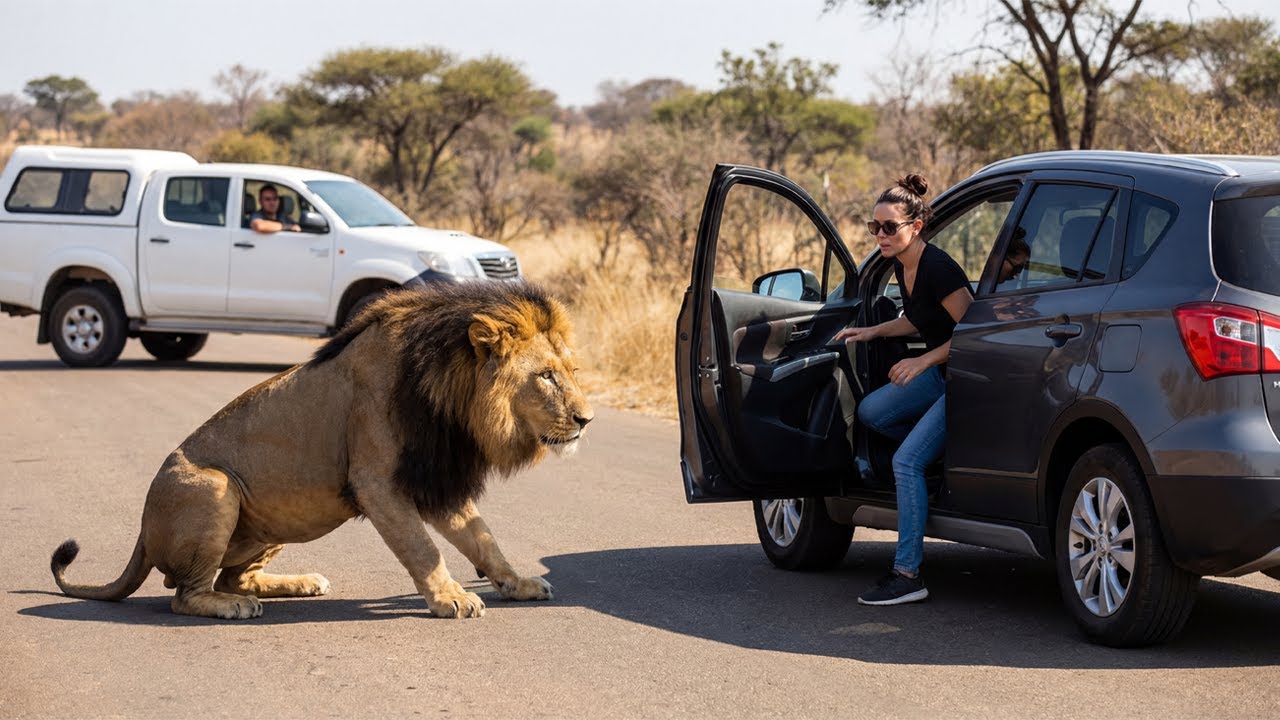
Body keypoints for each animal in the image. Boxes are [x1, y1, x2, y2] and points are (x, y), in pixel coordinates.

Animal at [49, 281, 593, 620]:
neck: (453, 401)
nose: (587, 420)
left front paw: (518, 583)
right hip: (218, 486)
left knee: (233, 577)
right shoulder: (378, 483)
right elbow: (424, 549)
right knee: (186, 594)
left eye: (572, 371)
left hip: (275, 517)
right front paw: (452, 598)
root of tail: (142, 531)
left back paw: (300, 582)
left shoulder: (435, 480)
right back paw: (231, 608)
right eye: (545, 376)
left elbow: (484, 541)